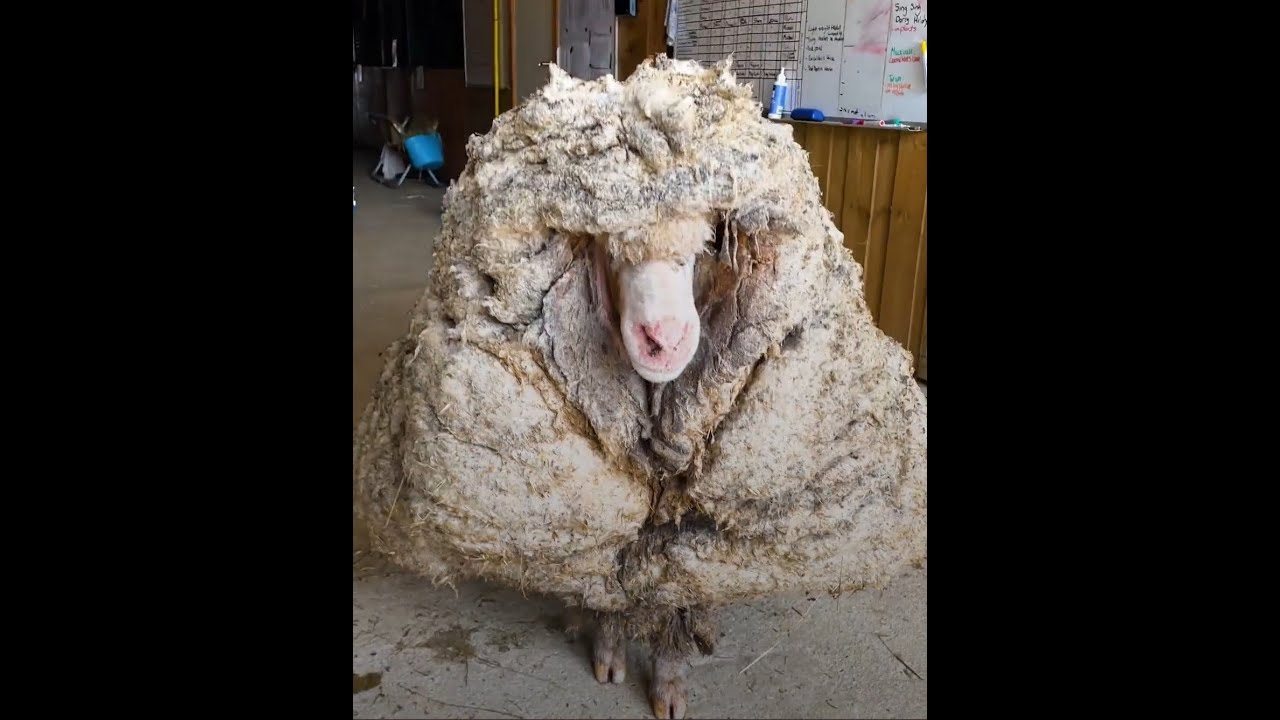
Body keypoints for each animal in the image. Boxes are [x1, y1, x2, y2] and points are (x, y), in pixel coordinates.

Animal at [353, 55, 927, 719]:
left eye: (704, 245)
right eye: (609, 249)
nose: (661, 339)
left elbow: (678, 583)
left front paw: (671, 675)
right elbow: (614, 581)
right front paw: (608, 649)